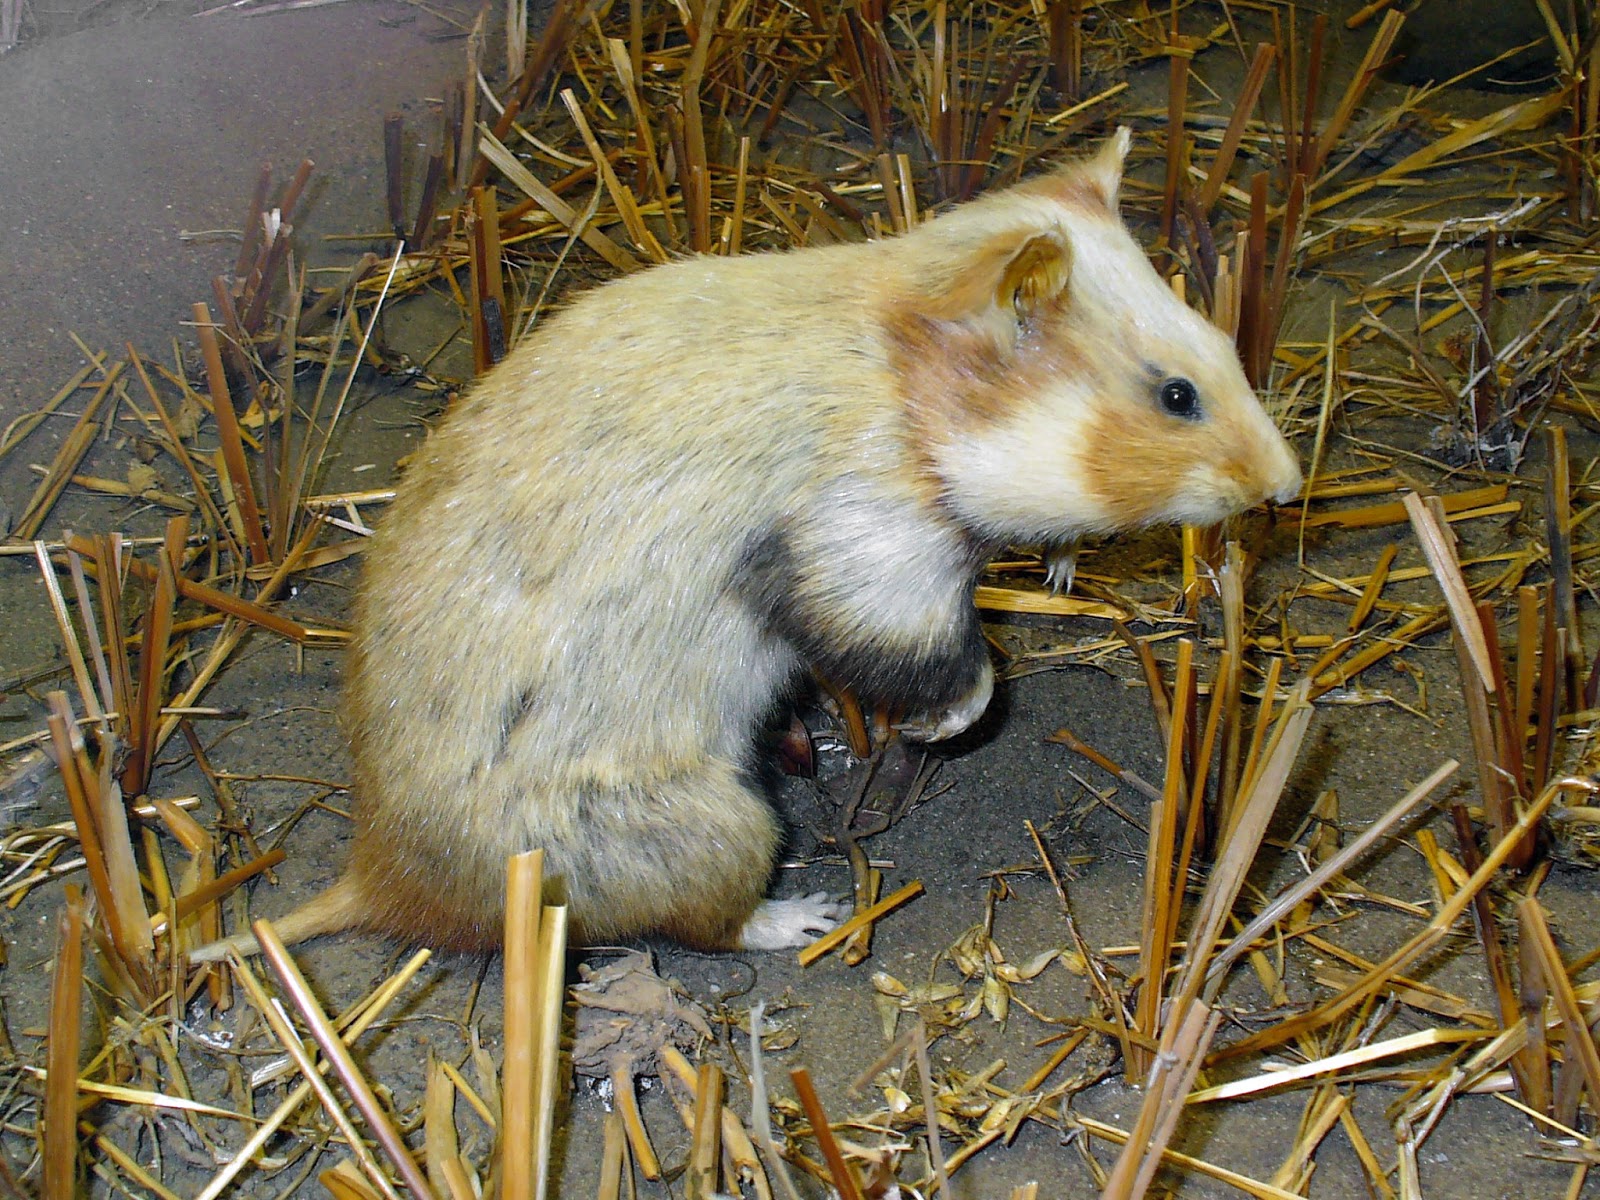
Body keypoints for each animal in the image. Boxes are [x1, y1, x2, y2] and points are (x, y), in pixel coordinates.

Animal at [194, 128, 1300, 960]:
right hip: (722, 828)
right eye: (1174, 395)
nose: (1290, 488)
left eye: (1218, 343)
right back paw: (808, 913)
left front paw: (1062, 571)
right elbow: (957, 670)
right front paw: (946, 724)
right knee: (707, 927)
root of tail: (374, 878)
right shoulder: (872, 556)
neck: (902, 382)